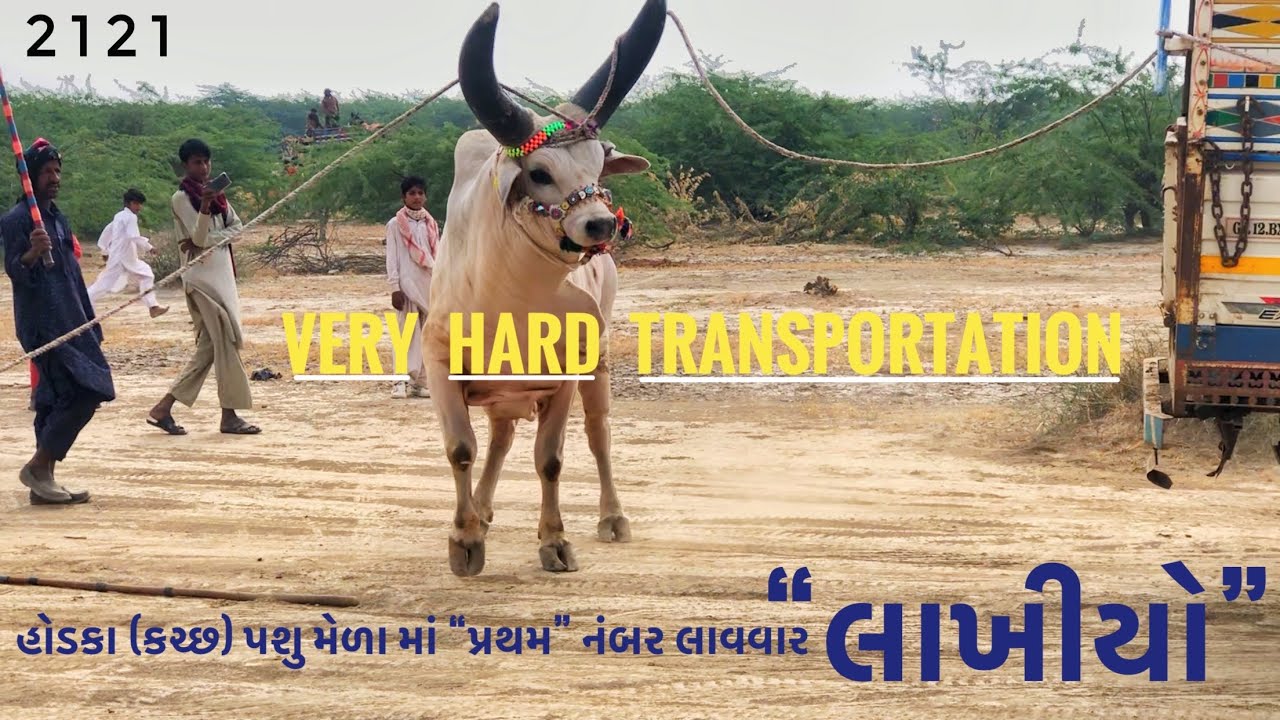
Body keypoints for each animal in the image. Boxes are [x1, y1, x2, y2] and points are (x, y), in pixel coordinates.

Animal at [424, 0, 667, 577]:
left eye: (600, 164)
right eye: (538, 172)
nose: (601, 224)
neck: (510, 297)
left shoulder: (564, 376)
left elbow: (551, 459)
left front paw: (554, 541)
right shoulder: (440, 362)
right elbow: (462, 449)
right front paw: (465, 539)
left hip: (596, 366)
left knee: (598, 434)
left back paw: (612, 517)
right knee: (499, 439)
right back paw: (483, 511)